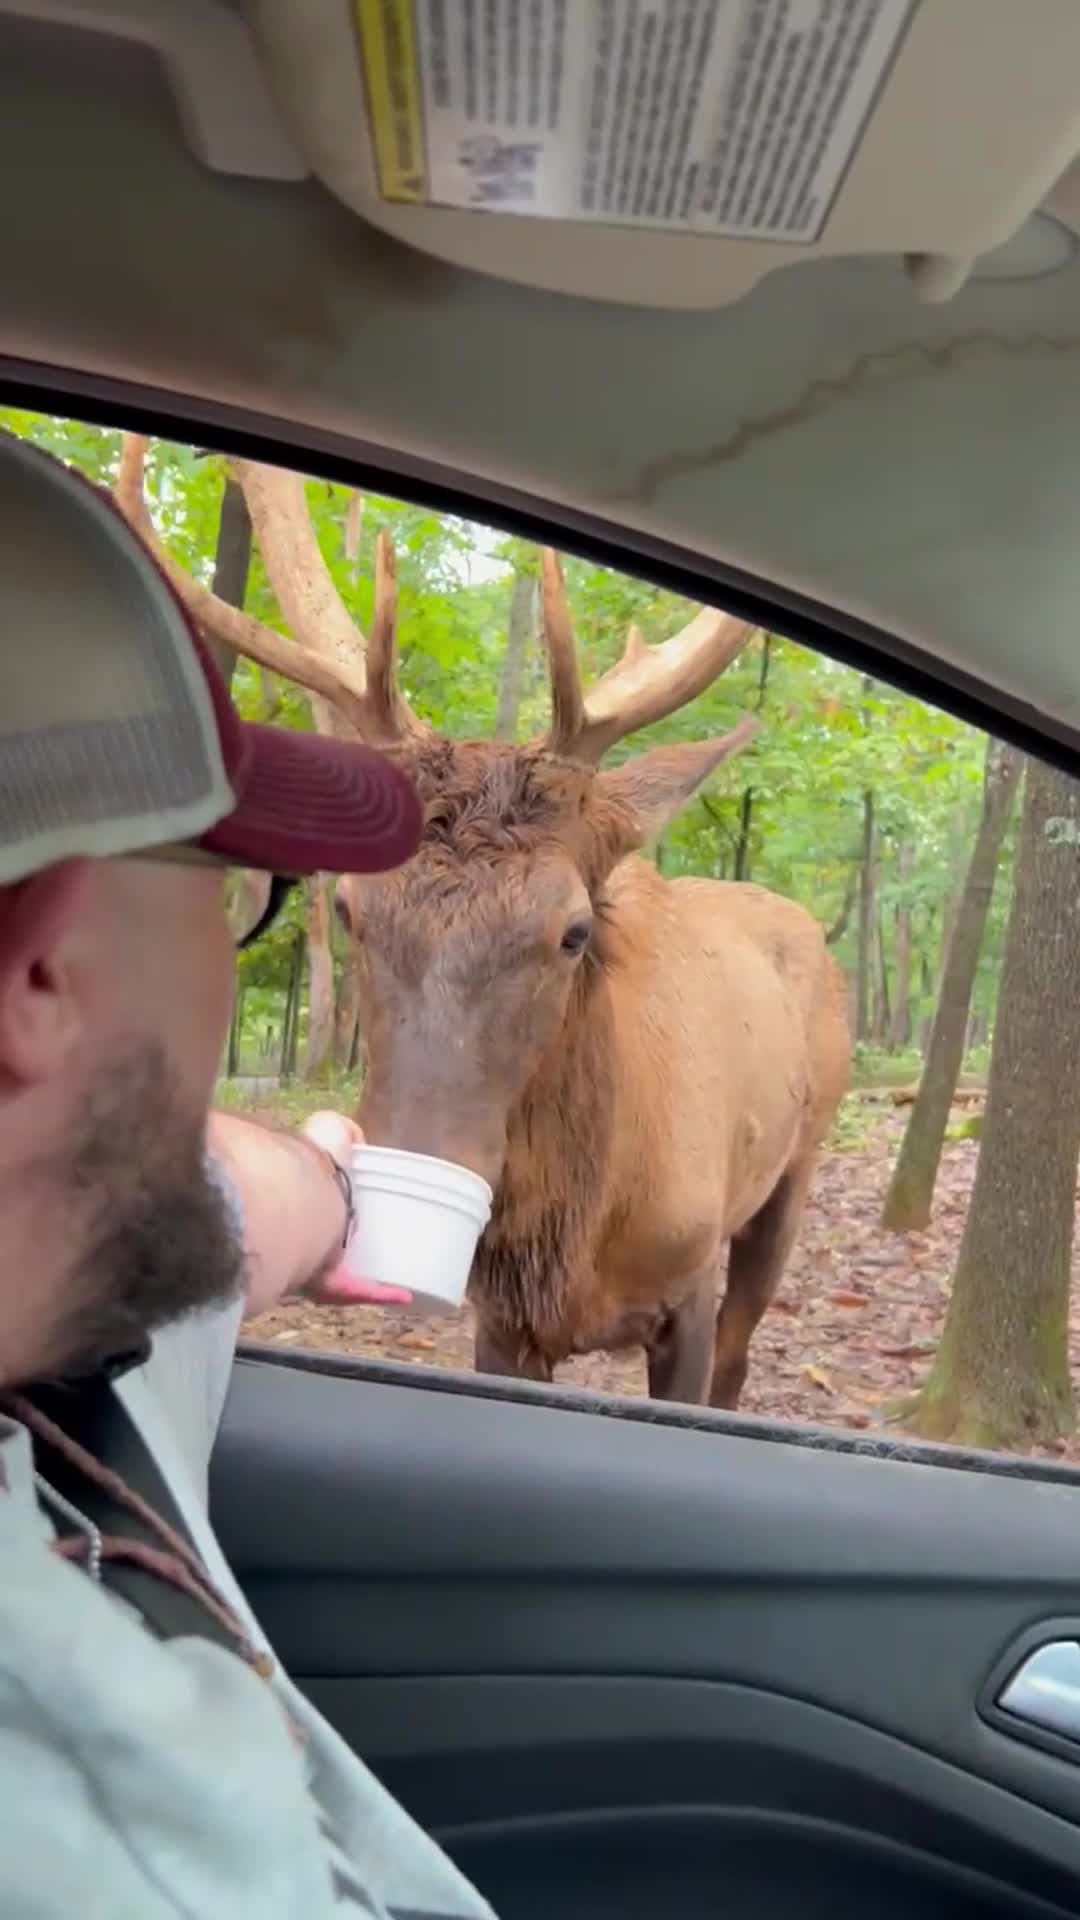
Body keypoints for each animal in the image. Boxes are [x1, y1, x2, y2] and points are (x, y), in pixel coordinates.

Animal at [113, 437, 851, 1408]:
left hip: (795, 1168)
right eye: (347, 907)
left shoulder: (685, 1283)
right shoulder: (503, 1321)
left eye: (574, 930)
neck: (578, 1240)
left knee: (745, 1344)